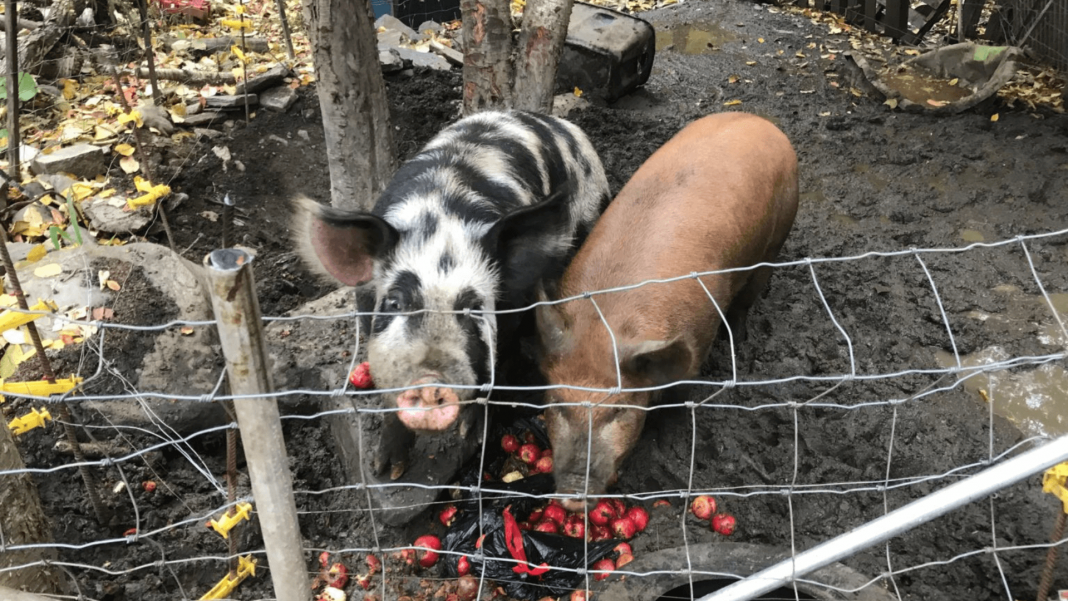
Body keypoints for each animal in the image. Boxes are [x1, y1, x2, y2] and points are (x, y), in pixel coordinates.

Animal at [292, 110, 610, 479]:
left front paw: (469, 434)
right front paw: (387, 471)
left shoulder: (510, 311)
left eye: (473, 308)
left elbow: (494, 366)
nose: (431, 382)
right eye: (395, 302)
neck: (440, 216)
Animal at [535, 112, 799, 510]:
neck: (607, 325)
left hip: (777, 238)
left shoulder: (696, 347)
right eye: (557, 403)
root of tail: (760, 120)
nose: (572, 496)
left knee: (748, 298)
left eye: (619, 410)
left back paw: (739, 340)